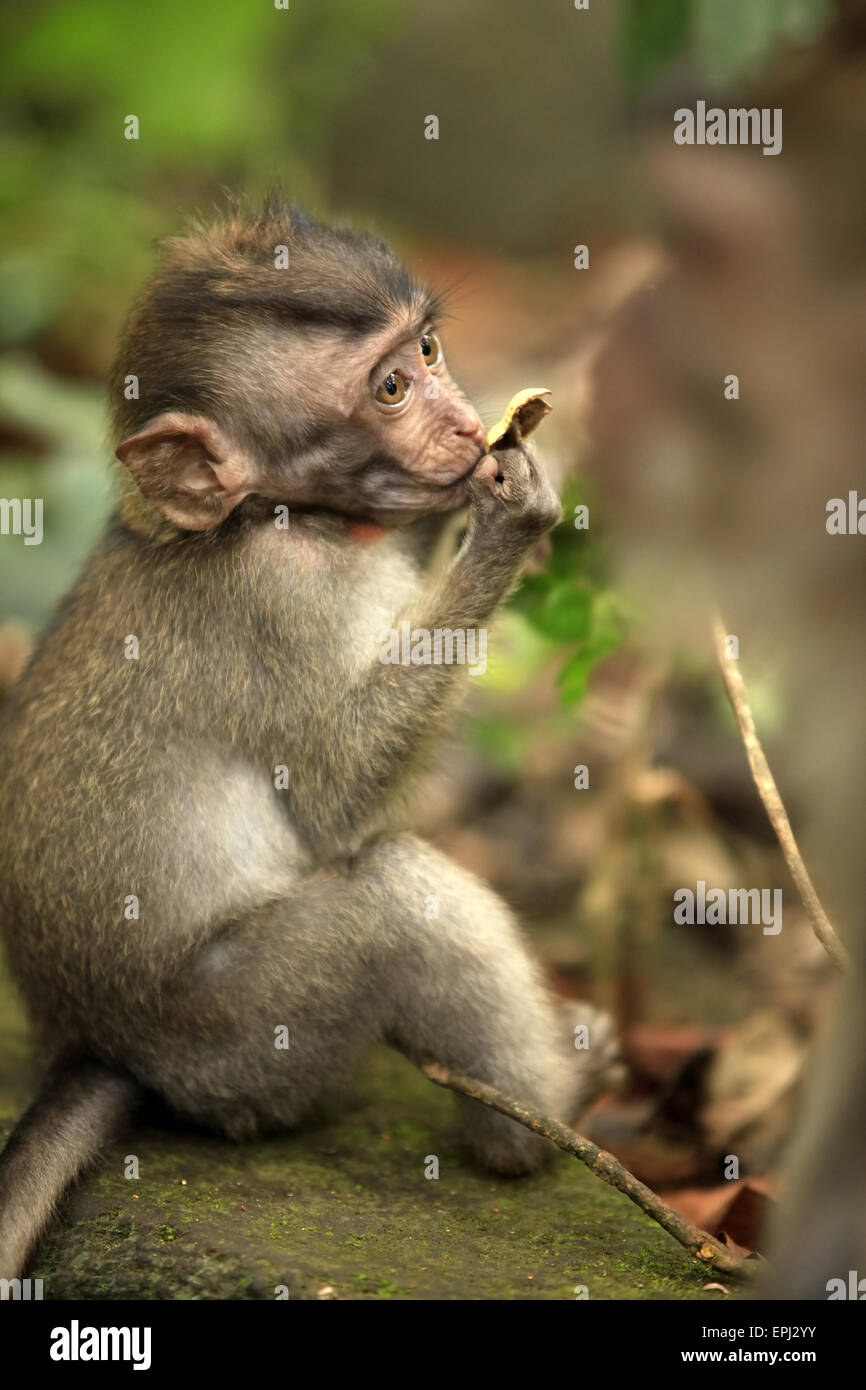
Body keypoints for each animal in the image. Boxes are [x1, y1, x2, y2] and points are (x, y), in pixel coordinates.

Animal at [0, 200, 618, 1283]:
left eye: (428, 348)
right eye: (389, 388)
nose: (469, 426)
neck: (282, 516)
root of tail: (98, 1043)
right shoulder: (280, 599)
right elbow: (335, 800)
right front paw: (508, 519)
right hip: (239, 1036)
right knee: (394, 906)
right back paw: (535, 1123)